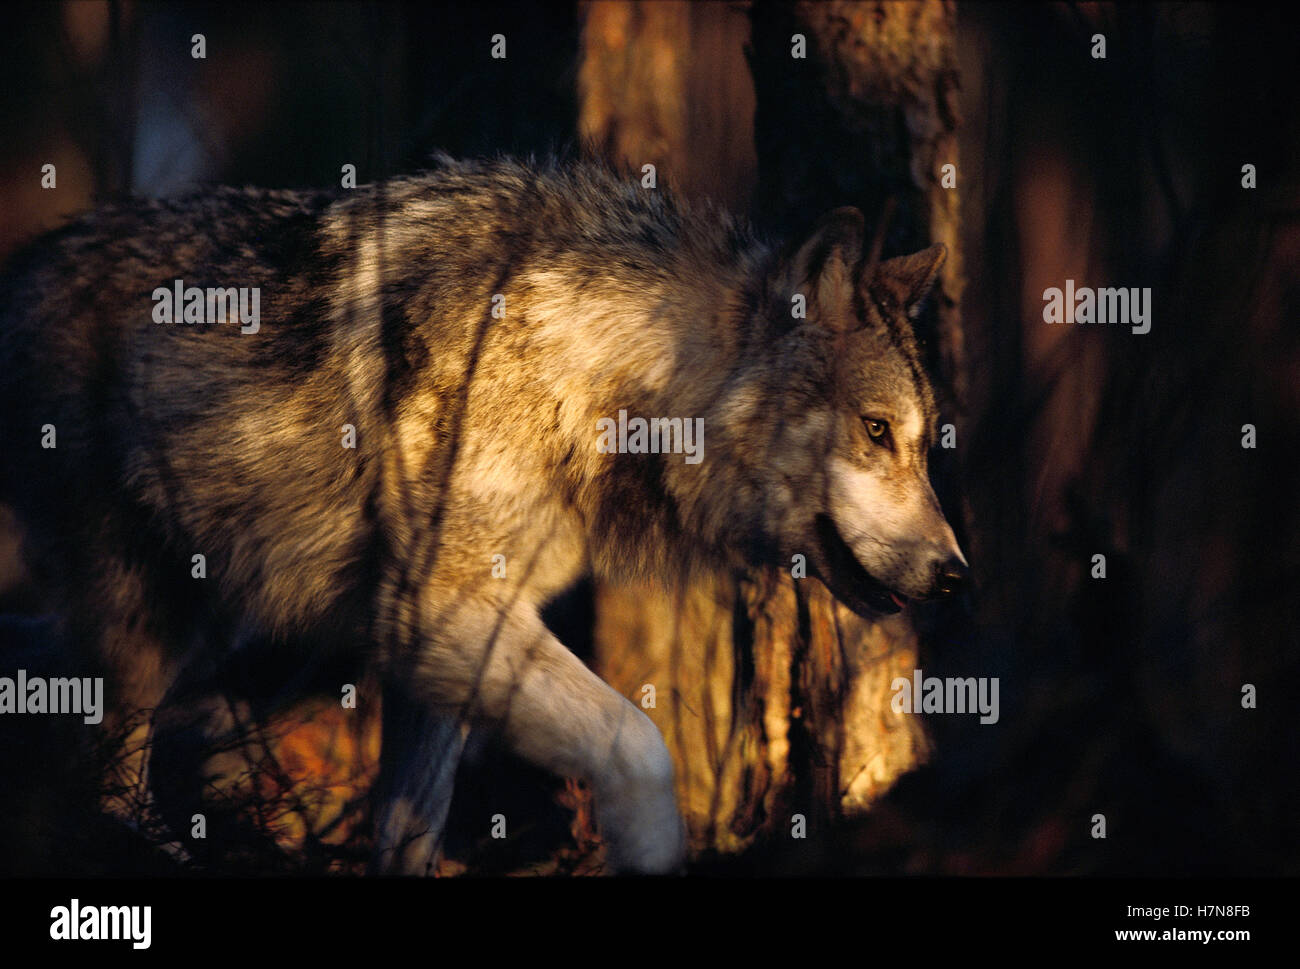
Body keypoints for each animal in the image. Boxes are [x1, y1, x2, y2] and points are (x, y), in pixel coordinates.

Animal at [0, 155, 967, 874]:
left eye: (925, 444)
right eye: (876, 430)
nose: (957, 572)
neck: (601, 372)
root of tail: (30, 261)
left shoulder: (437, 642)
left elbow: (408, 829)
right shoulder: (439, 608)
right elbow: (638, 744)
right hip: (146, 628)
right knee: (102, 772)